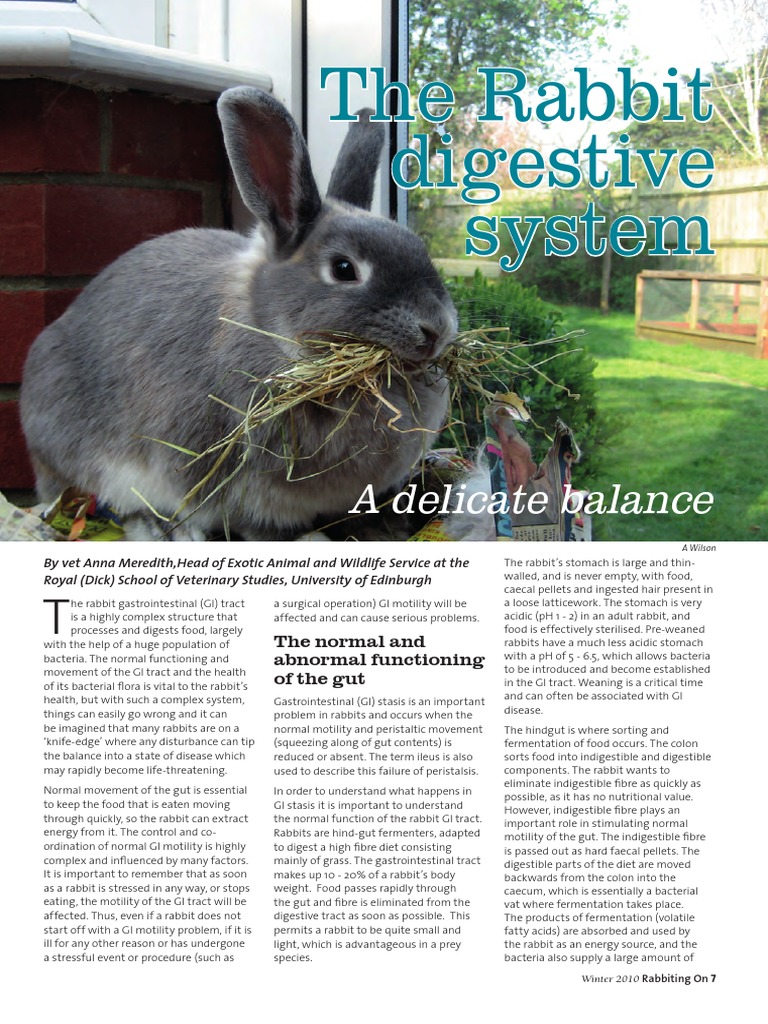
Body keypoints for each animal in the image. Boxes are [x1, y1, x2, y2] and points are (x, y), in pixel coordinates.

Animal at [20, 86, 457, 541]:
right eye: (343, 269)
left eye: (418, 246)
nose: (436, 329)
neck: (271, 336)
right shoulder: (239, 489)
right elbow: (258, 525)